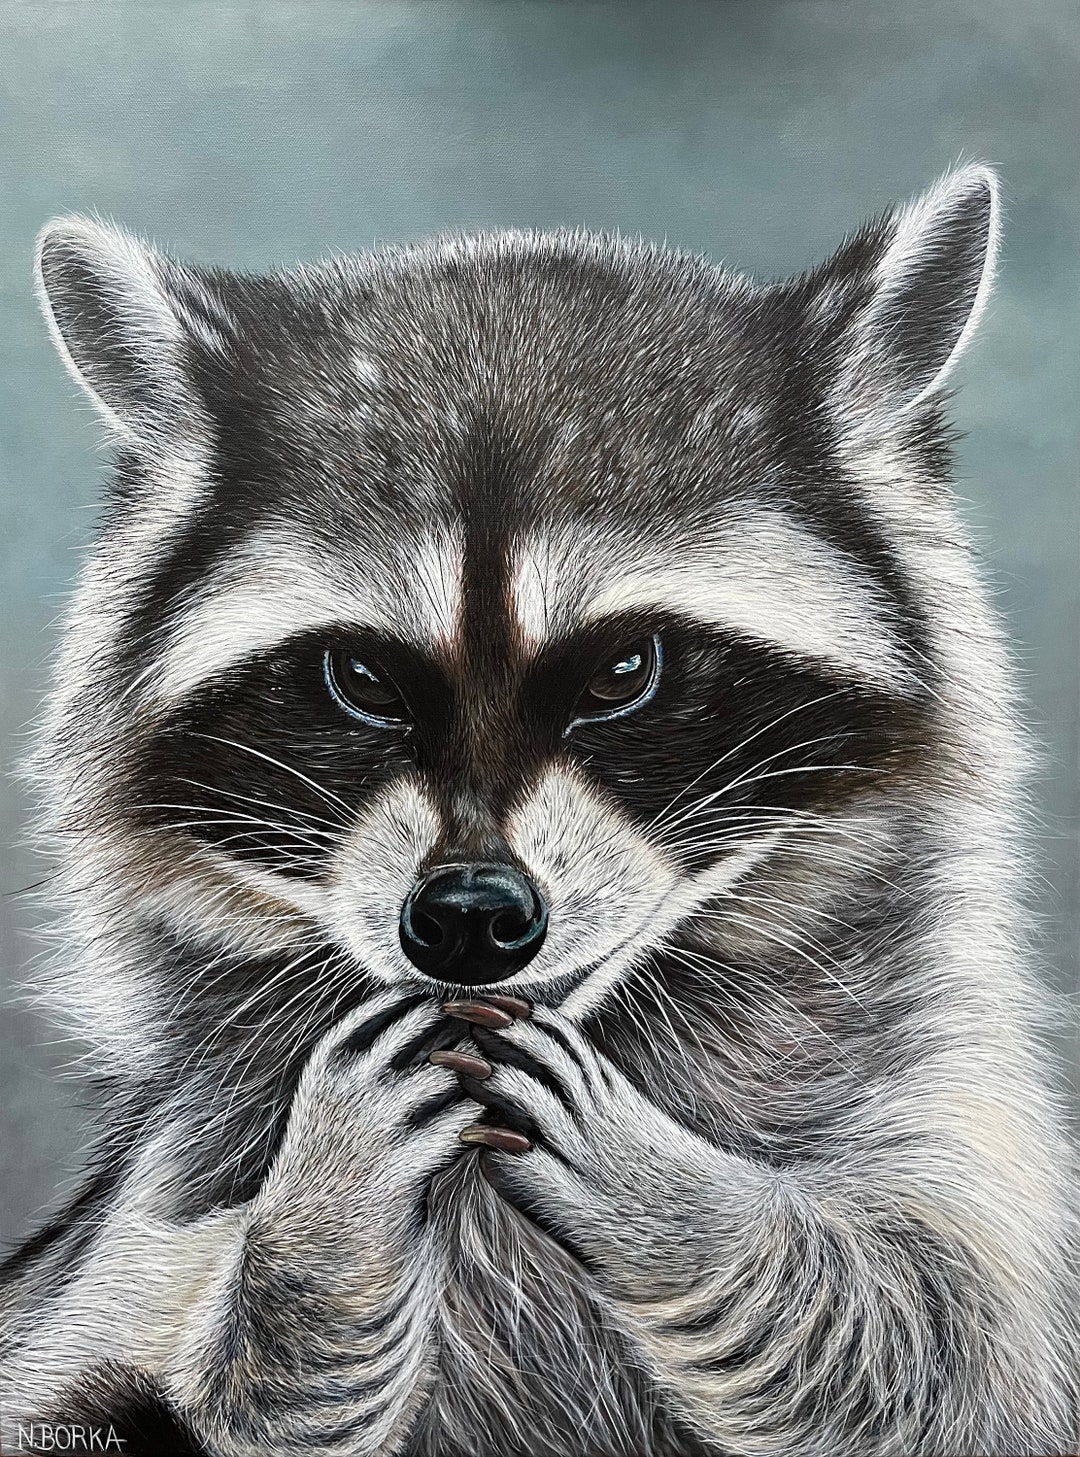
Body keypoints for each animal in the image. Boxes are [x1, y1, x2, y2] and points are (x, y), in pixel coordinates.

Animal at [1, 166, 1077, 1457]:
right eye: (359, 678)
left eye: (625, 669)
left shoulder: (957, 1131)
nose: (469, 914)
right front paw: (319, 1229)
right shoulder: (146, 1221)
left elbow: (929, 1356)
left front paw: (675, 1196)